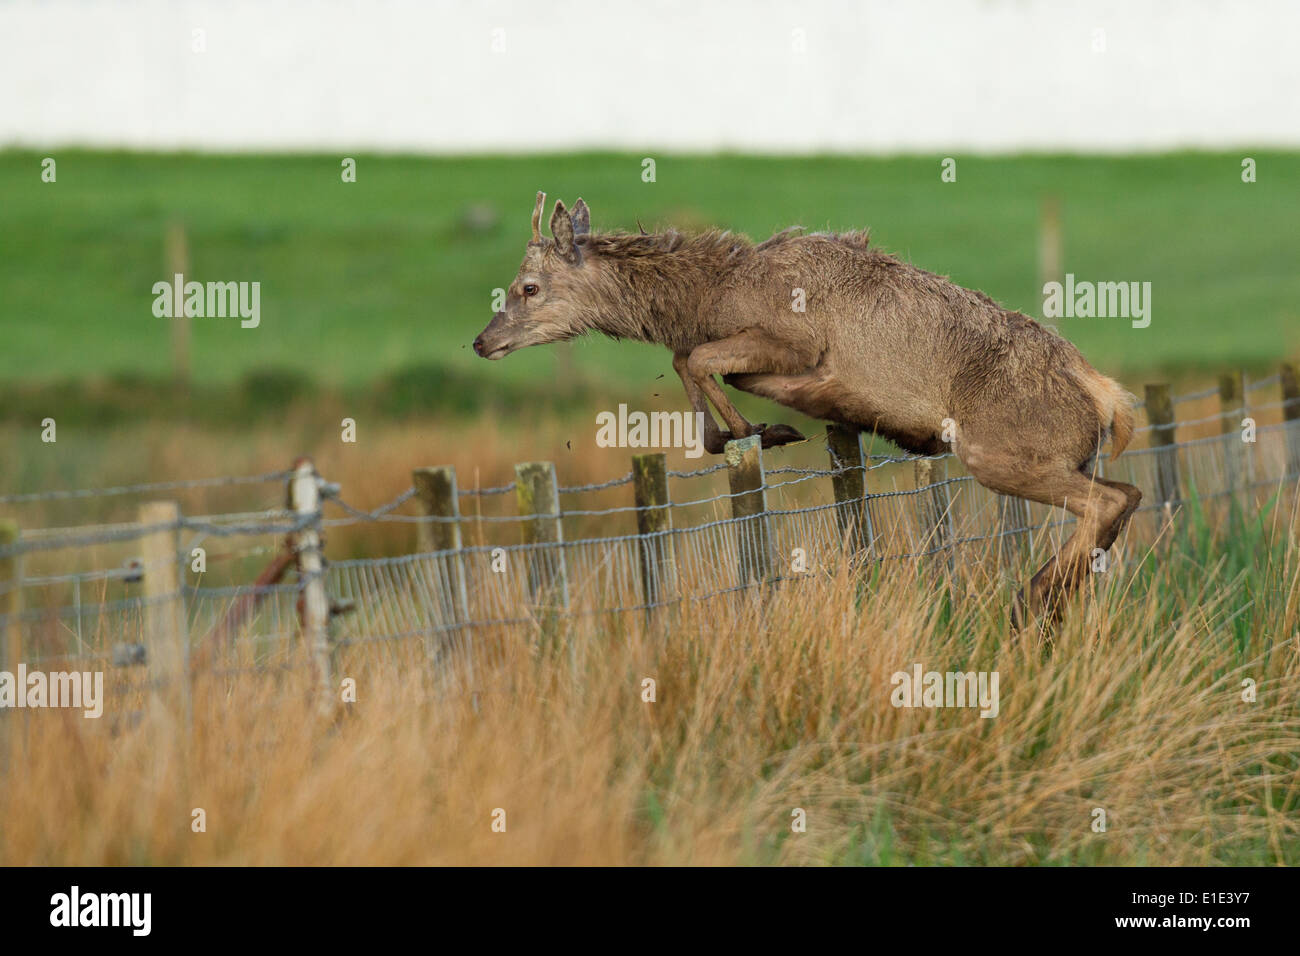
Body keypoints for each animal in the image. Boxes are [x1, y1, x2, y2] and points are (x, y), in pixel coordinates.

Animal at [473, 192, 1142, 630]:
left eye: (528, 287)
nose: (482, 341)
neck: (717, 294)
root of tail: (1108, 395)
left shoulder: (796, 340)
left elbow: (695, 355)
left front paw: (757, 430)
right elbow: (692, 356)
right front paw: (743, 433)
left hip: (998, 452)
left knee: (1110, 499)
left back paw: (1032, 600)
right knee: (1125, 494)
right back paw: (1050, 600)